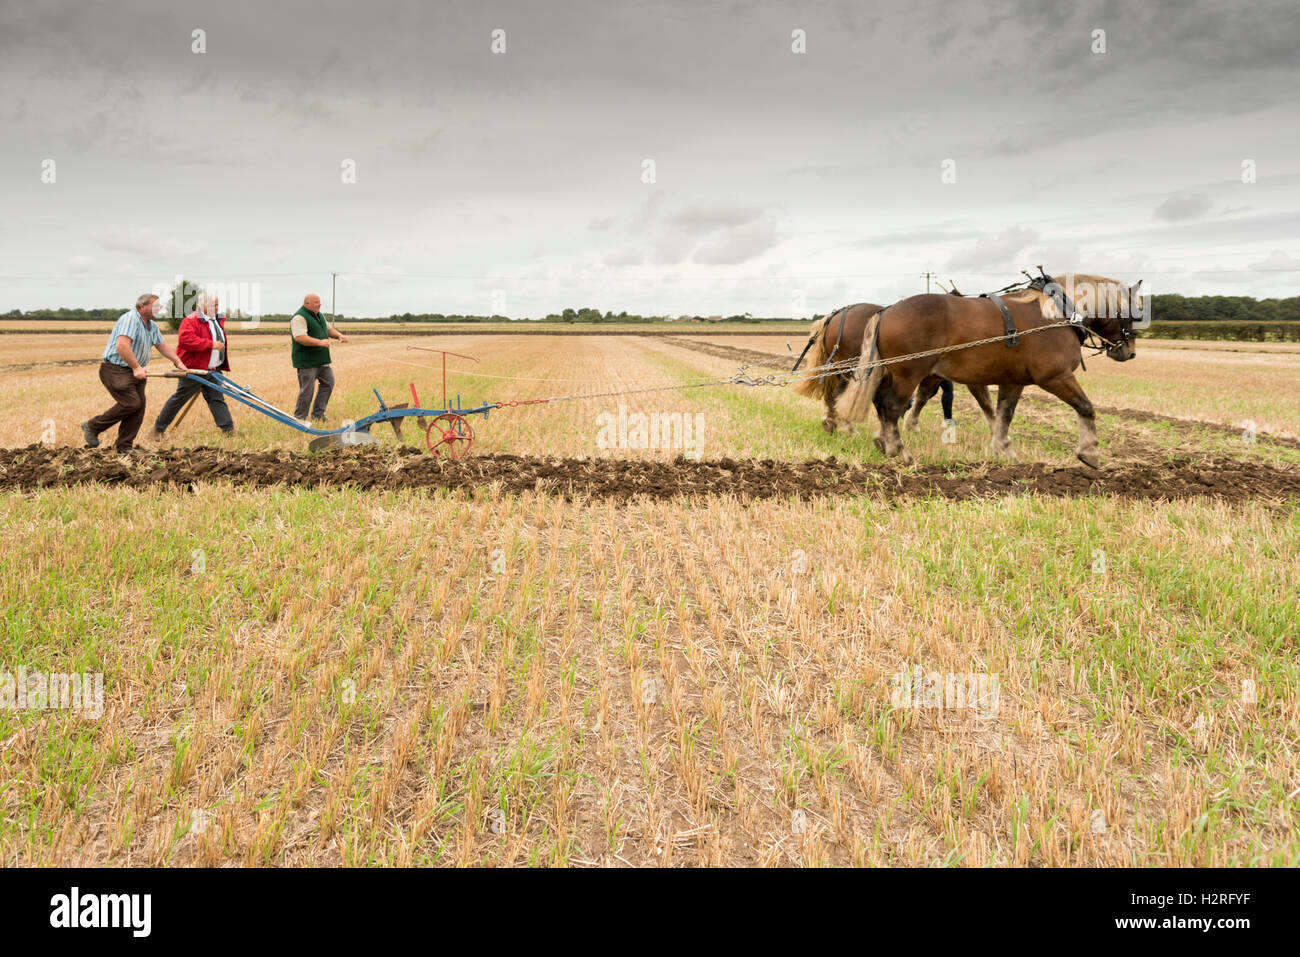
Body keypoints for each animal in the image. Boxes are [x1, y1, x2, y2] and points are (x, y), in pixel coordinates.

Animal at [833, 273, 1142, 468]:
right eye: (1134, 312)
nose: (1130, 352)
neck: (1058, 314)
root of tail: (886, 310)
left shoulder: (1013, 381)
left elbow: (1003, 414)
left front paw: (1004, 449)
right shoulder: (1056, 377)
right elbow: (1086, 407)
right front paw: (1090, 453)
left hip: (893, 373)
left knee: (881, 402)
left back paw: (883, 442)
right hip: (907, 374)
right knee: (890, 406)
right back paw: (899, 450)